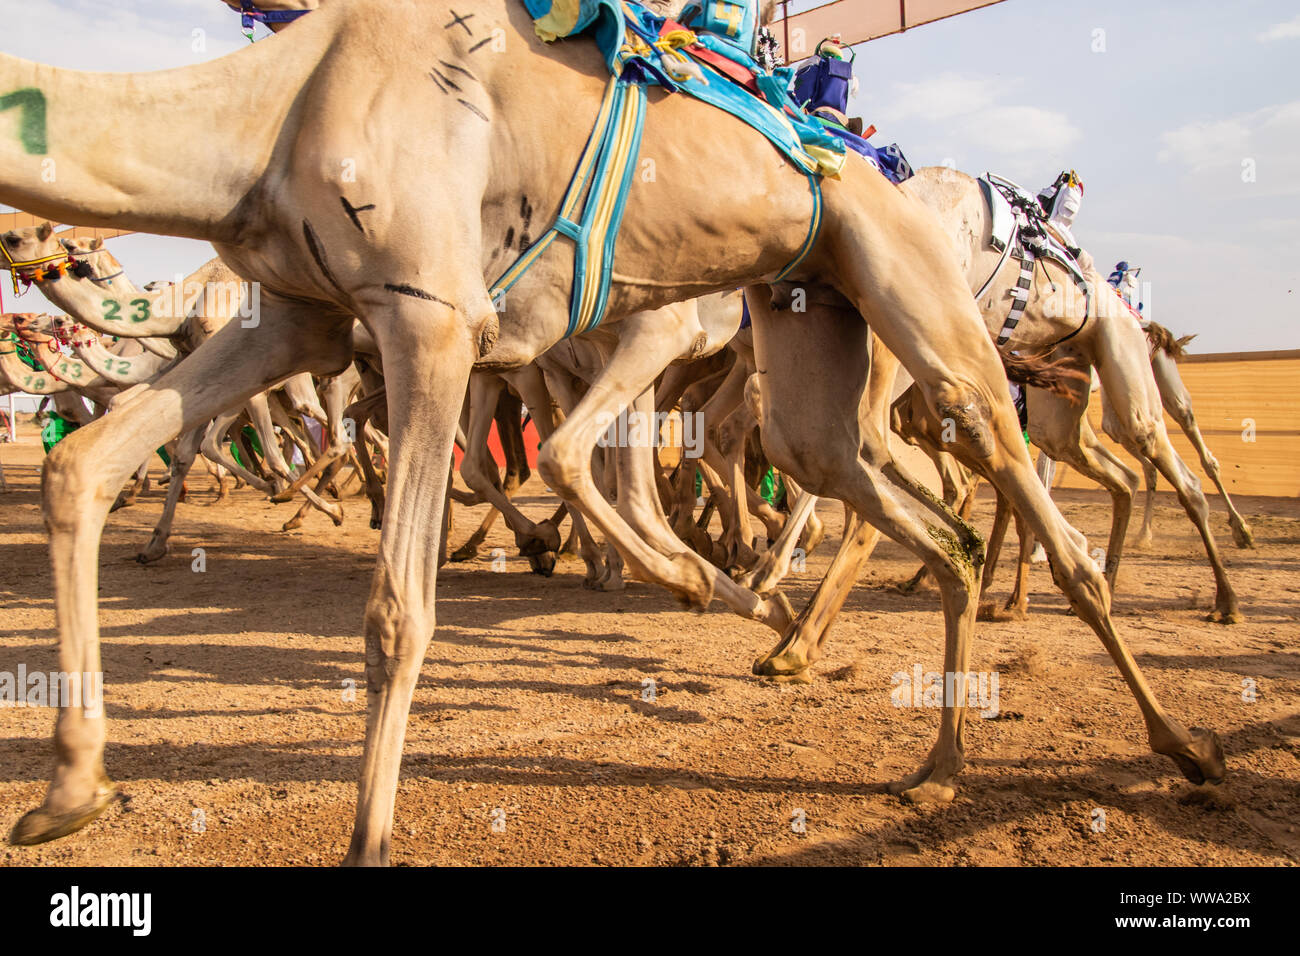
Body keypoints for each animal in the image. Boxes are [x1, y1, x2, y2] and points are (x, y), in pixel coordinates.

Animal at [0, 0, 1223, 865]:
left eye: (57, 243)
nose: (25, 252)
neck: (278, 107)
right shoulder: (301, 317)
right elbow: (80, 469)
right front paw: (69, 790)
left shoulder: (431, 318)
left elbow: (401, 609)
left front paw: (369, 837)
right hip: (811, 311)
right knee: (882, 491)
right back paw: (924, 751)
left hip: (922, 301)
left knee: (1036, 483)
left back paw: (1181, 733)